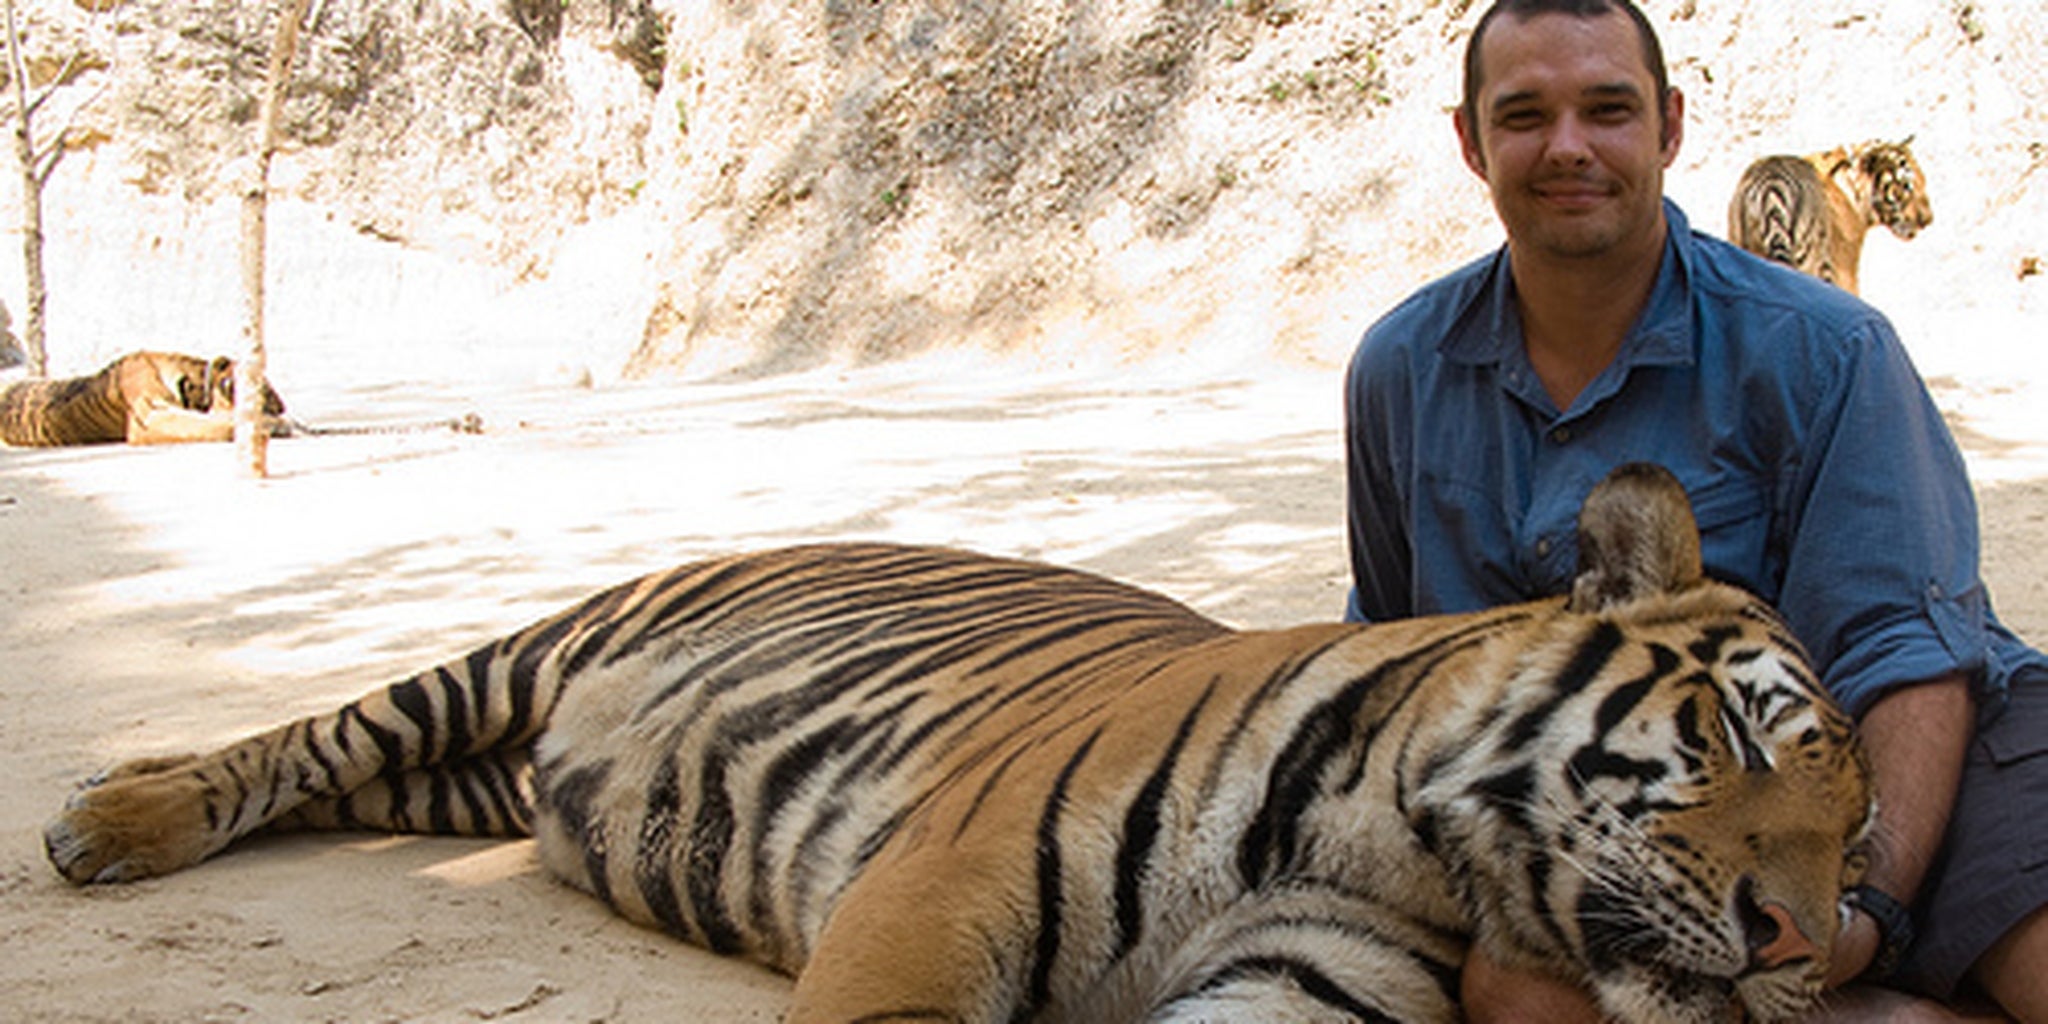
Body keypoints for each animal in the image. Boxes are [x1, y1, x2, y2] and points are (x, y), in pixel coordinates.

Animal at [44, 463, 1873, 1023]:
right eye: (1732, 730)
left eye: (1857, 849)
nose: (1800, 939)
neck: (1400, 841)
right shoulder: (934, 896)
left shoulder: (1302, 974)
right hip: (515, 658)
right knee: (302, 740)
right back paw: (108, 821)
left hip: (493, 783)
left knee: (363, 778)